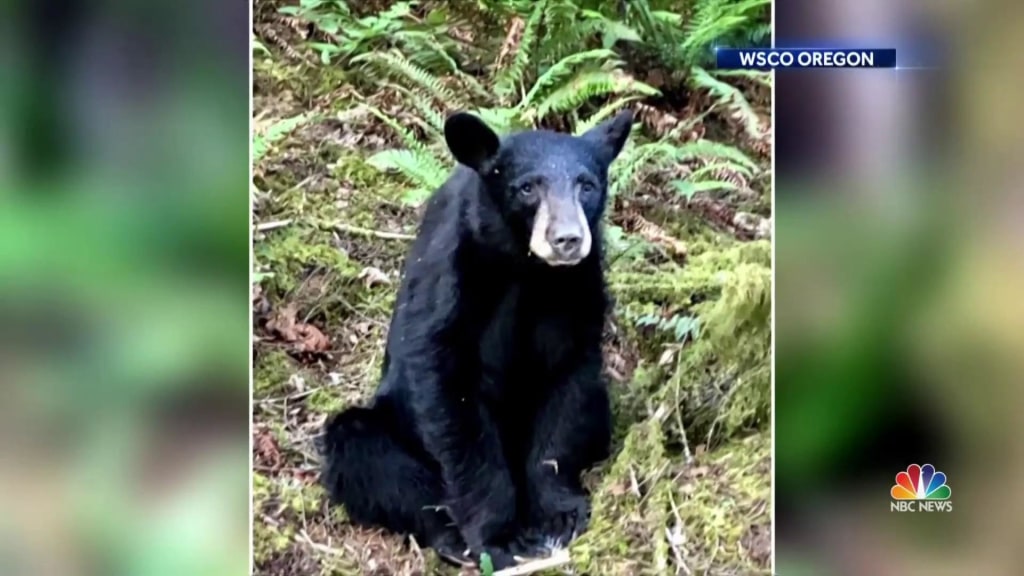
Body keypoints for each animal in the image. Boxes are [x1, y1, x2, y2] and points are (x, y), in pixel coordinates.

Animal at [320, 108, 633, 570]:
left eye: (587, 185)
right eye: (527, 187)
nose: (568, 240)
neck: (527, 270)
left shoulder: (578, 288)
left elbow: (568, 385)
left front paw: (559, 513)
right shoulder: (453, 276)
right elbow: (449, 392)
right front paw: (497, 535)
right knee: (363, 451)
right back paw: (449, 535)